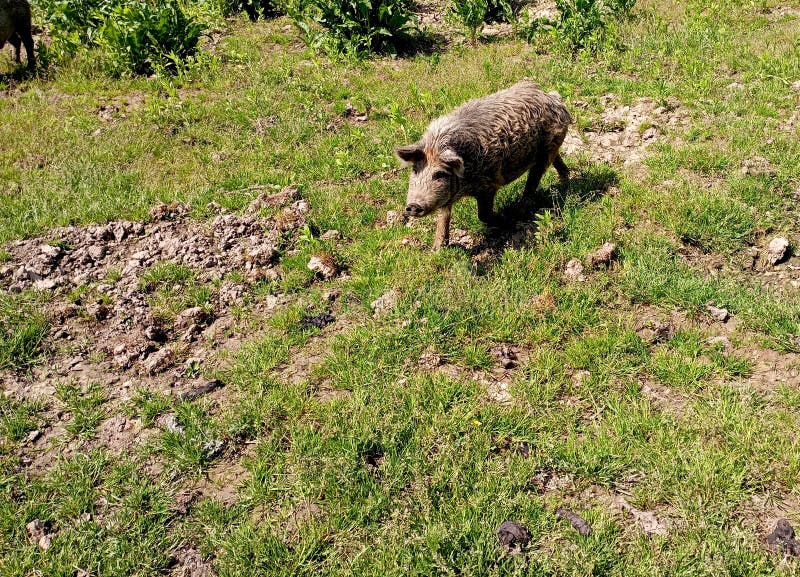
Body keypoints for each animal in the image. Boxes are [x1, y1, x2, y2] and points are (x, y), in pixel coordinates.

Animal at [397, 80, 571, 250]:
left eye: (440, 174)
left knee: (533, 181)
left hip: (545, 151)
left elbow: (483, 215)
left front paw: (505, 219)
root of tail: (552, 98)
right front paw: (437, 249)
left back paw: (520, 211)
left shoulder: (489, 184)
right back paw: (565, 179)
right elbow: (444, 215)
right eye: (415, 170)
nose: (413, 205)